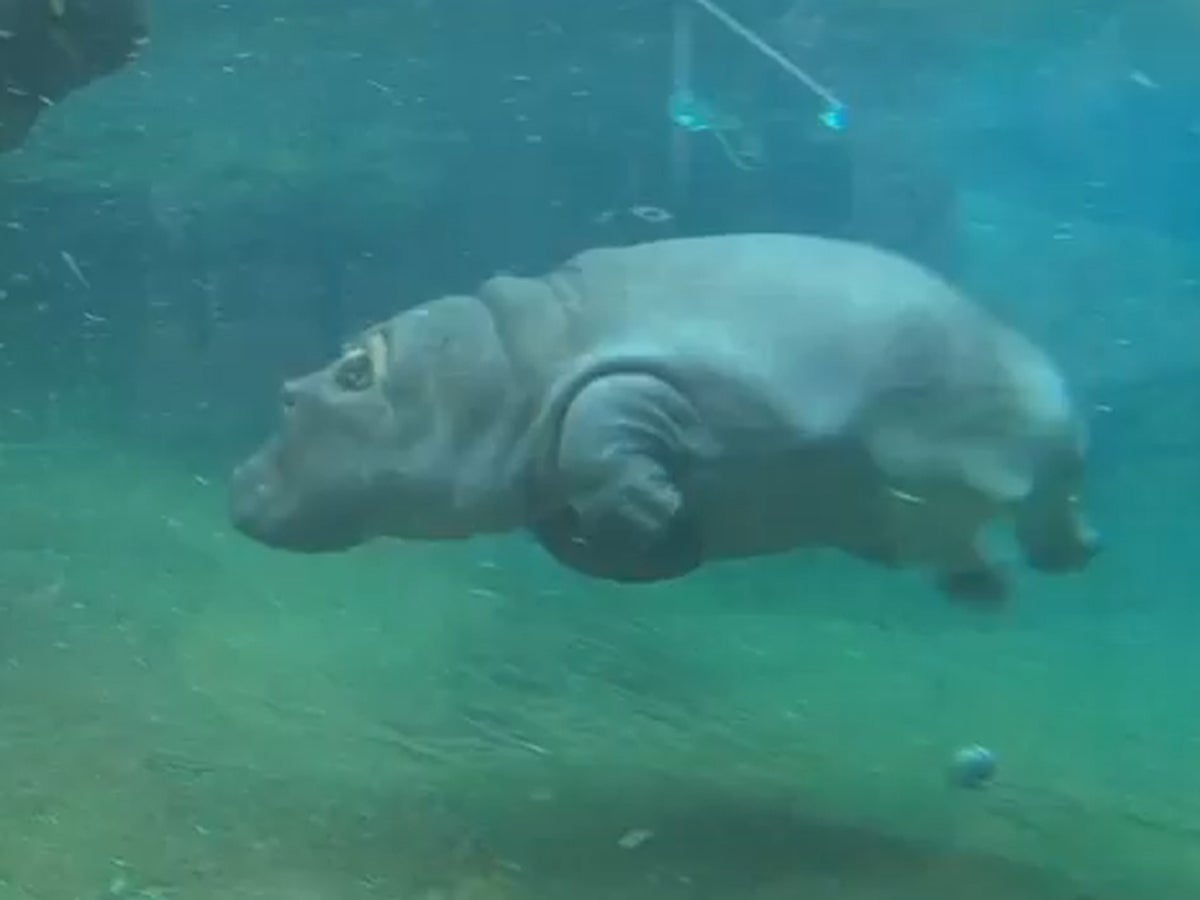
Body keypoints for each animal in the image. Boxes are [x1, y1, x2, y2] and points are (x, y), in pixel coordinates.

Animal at [229, 234, 1099, 606]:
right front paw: (662, 530)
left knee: (1052, 503)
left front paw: (653, 506)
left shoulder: (658, 373)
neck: (507, 357)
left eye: (349, 373)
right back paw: (986, 589)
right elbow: (579, 510)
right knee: (981, 544)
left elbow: (601, 418)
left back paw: (1066, 554)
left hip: (1051, 443)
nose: (236, 480)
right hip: (936, 518)